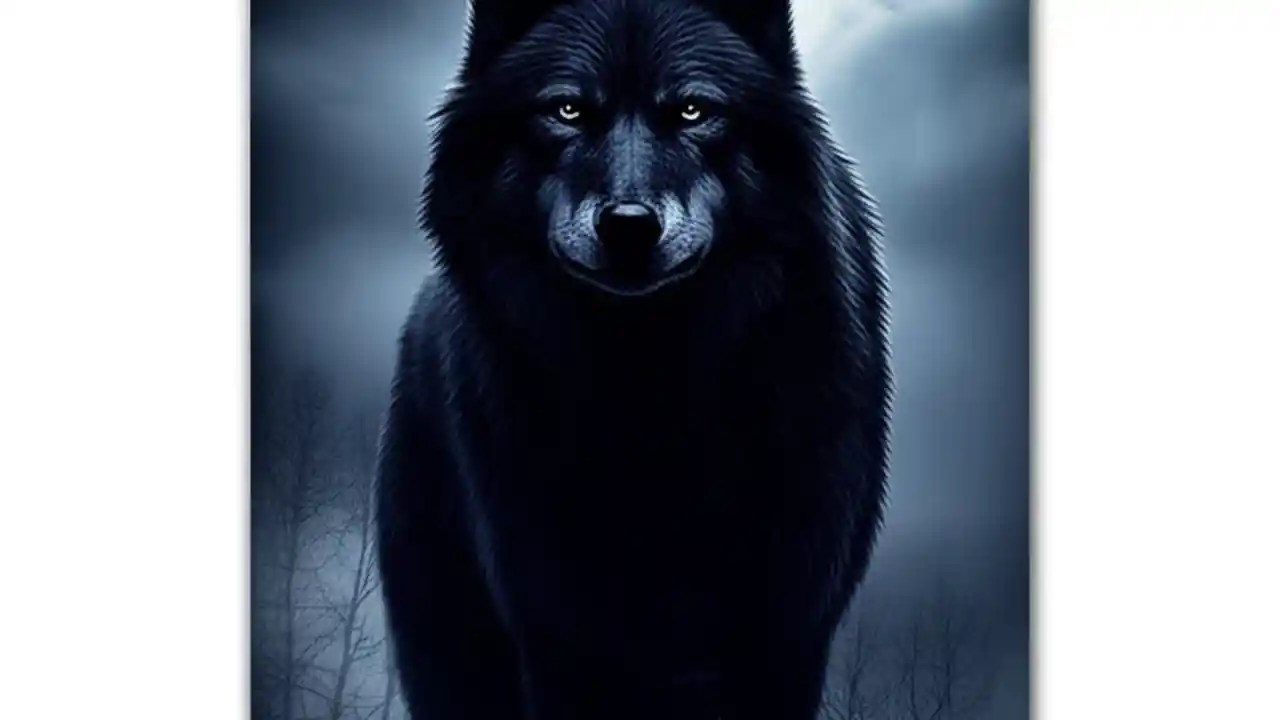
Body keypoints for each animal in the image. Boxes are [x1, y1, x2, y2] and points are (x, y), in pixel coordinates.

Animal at [376, 0, 890, 718]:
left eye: (694, 110)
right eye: (566, 110)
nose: (627, 225)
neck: (648, 391)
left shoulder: (785, 636)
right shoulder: (561, 637)